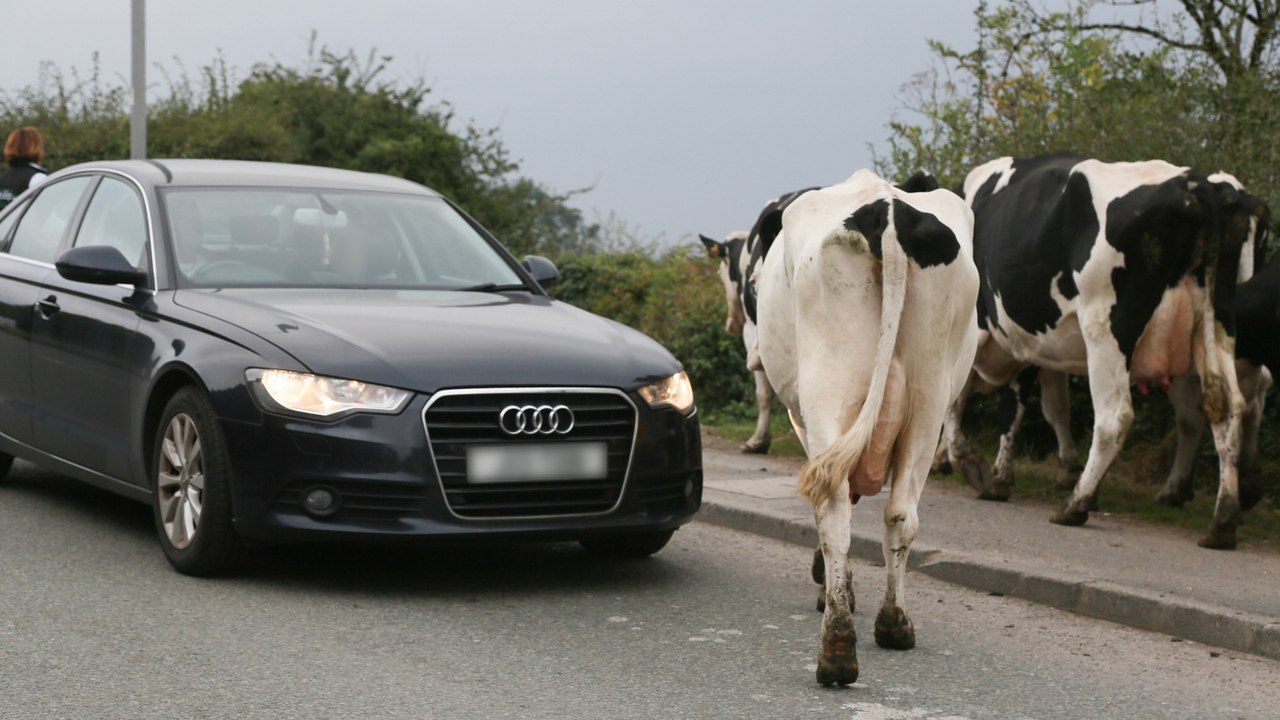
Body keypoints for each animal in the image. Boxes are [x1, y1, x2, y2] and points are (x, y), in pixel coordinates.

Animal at [755, 169, 980, 686]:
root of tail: (888, 212)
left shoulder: (802, 418)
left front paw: (832, 584)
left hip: (827, 390)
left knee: (833, 508)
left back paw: (837, 645)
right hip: (928, 397)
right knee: (900, 515)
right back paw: (893, 624)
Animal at [940, 153, 1263, 549]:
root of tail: (1193, 183)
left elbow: (960, 402)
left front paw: (970, 465)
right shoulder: (1027, 345)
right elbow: (1026, 409)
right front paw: (998, 476)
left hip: (1107, 327)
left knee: (1115, 417)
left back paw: (1077, 503)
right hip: (1216, 323)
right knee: (1225, 410)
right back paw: (1222, 520)